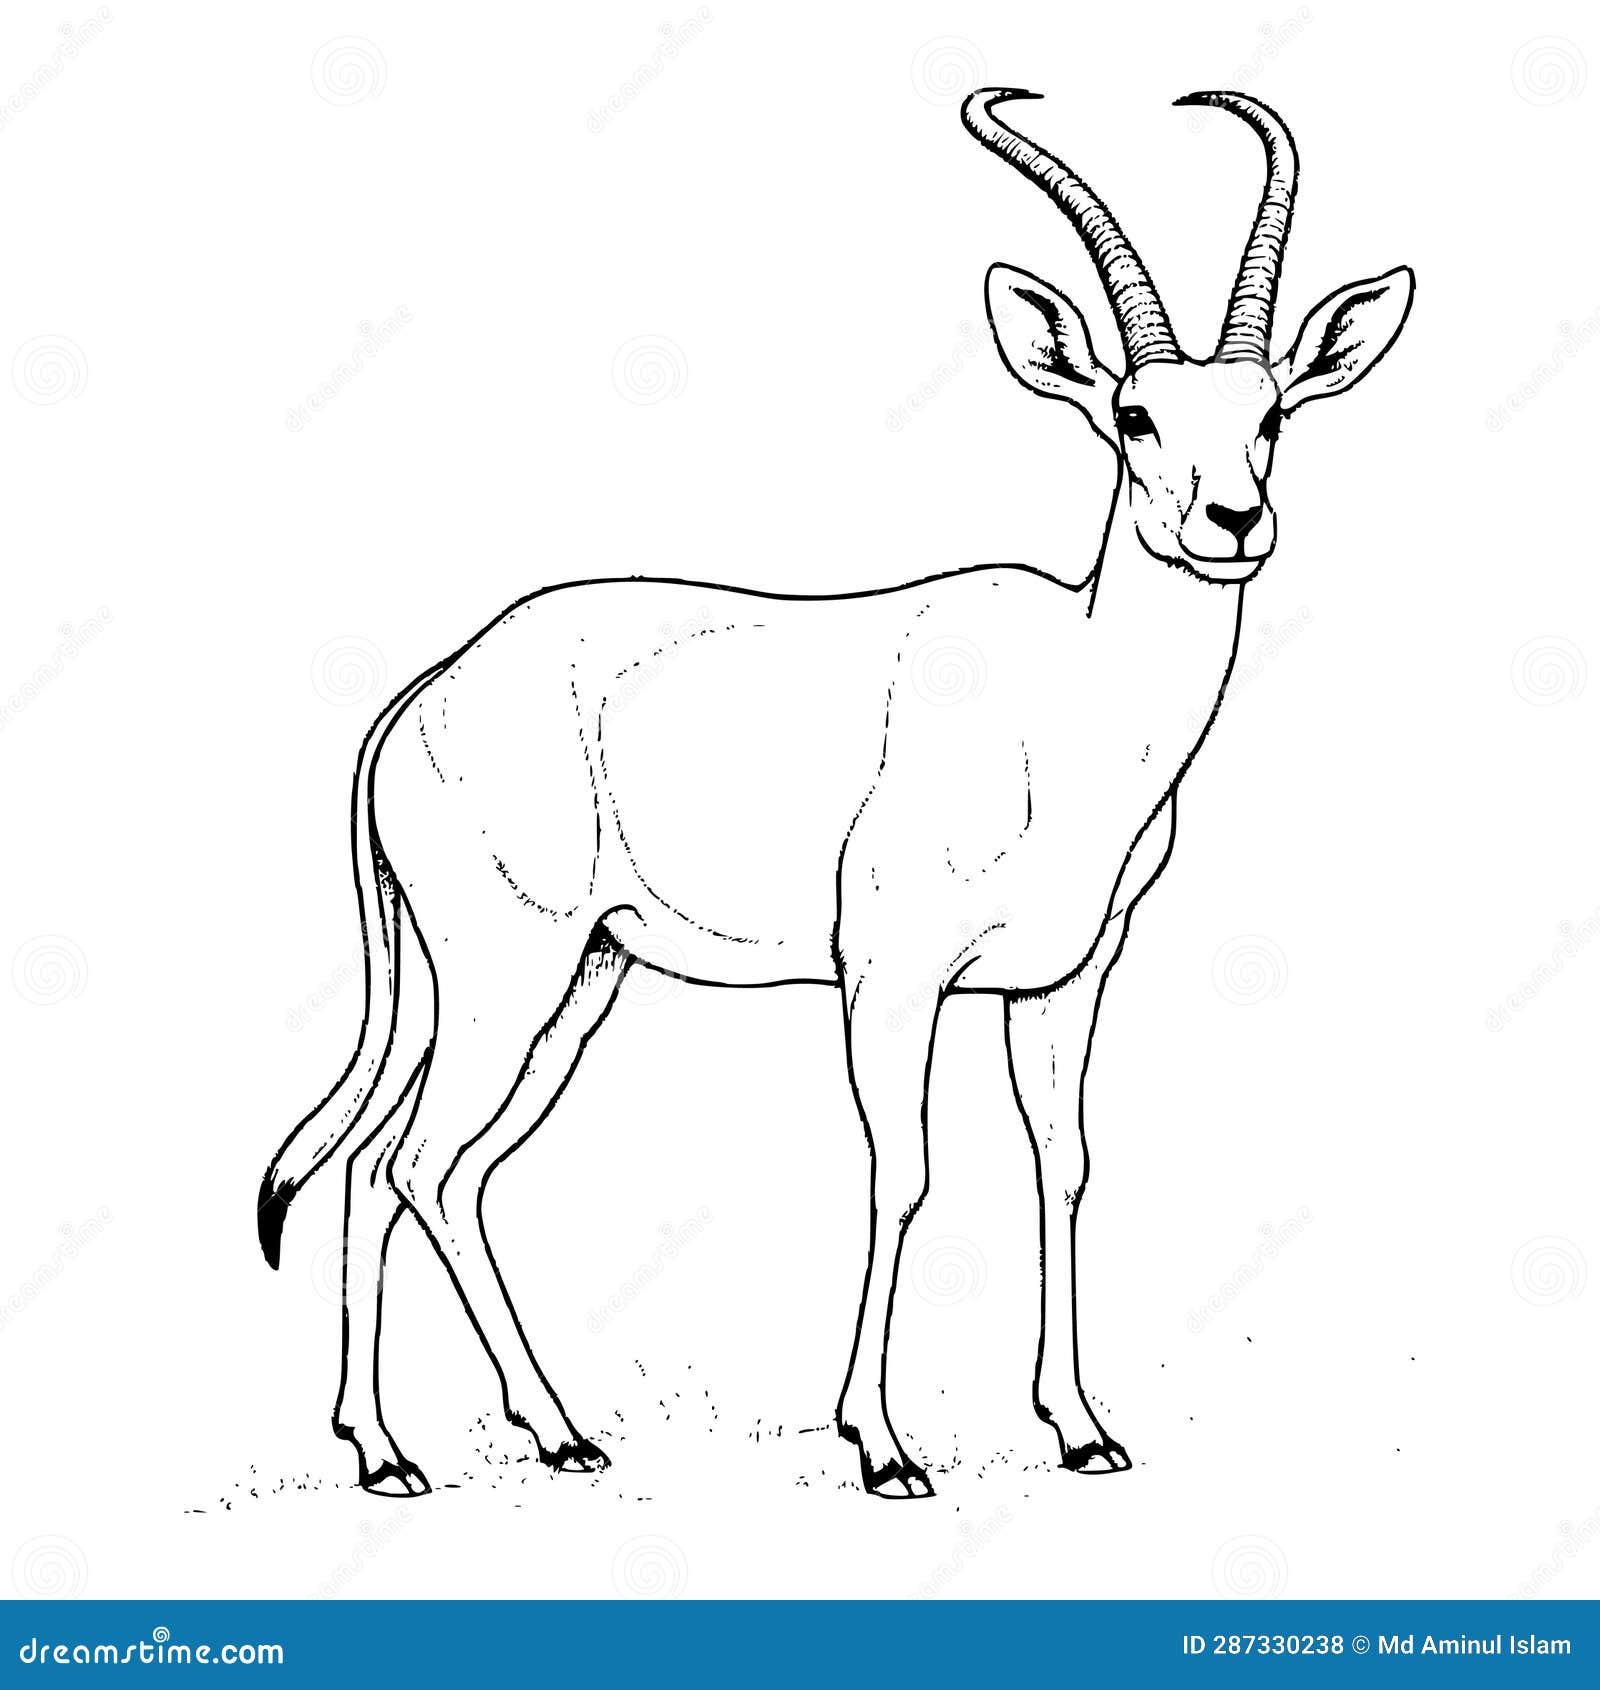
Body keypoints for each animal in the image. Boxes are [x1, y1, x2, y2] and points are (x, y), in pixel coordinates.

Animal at [260, 88, 1413, 1500]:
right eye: (1135, 415)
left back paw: (510, 1436)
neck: (1073, 700)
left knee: (413, 1169)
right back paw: (410, 1451)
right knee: (410, 1159)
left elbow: (1064, 1167)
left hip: (570, 980)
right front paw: (883, 1445)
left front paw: (1082, 1429)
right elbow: (901, 1174)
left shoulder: (1065, 978)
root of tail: (418, 697)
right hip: (504, 970)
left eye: (1272, 414)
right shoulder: (889, 971)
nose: (1231, 522)